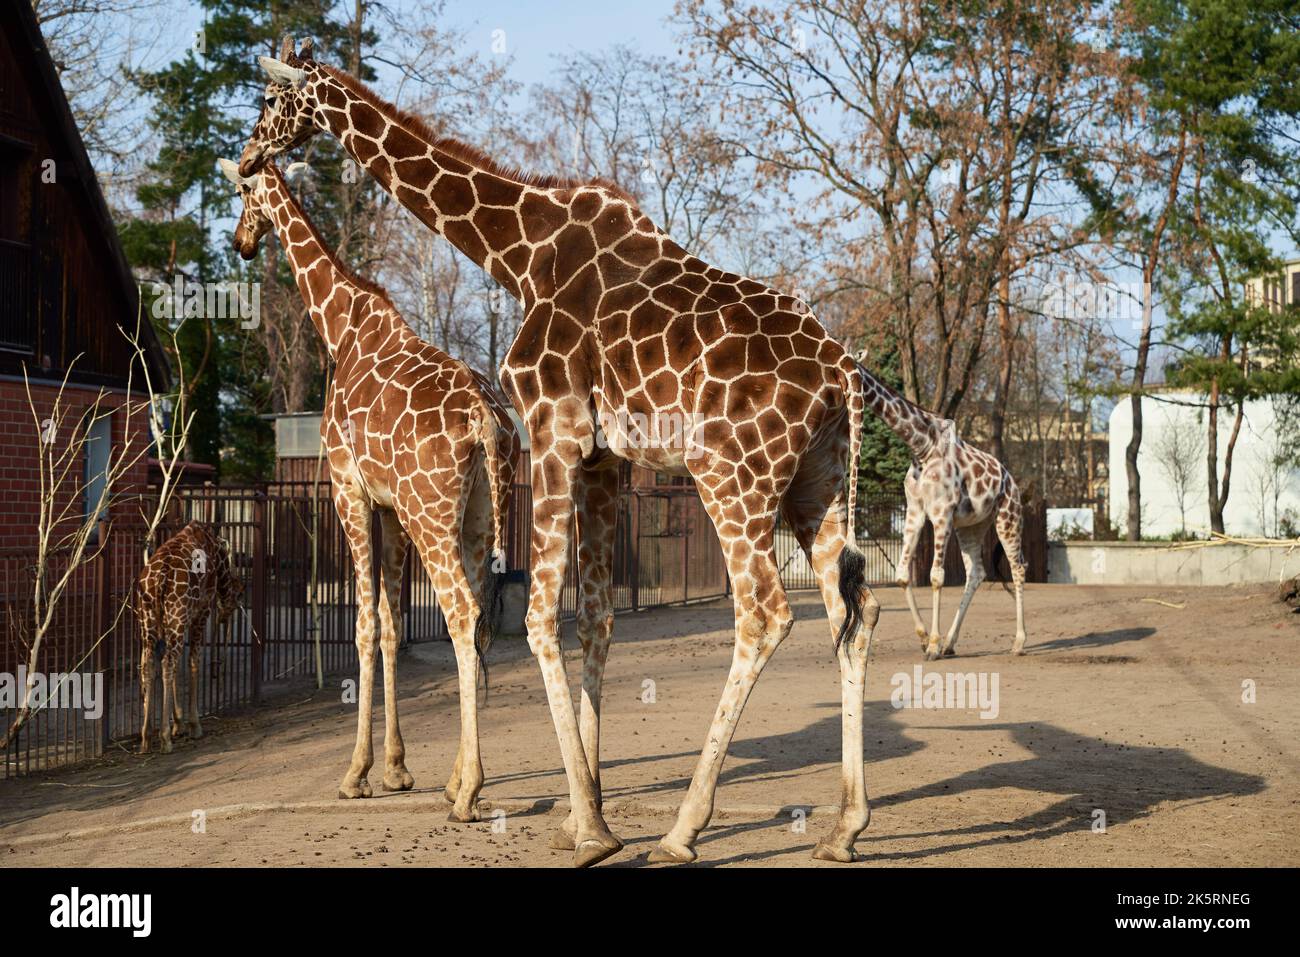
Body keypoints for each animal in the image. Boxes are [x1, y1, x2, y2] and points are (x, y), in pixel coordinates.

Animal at [135, 521, 241, 754]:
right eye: (239, 593)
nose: (225, 616)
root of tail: (158, 579)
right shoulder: (201, 611)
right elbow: (193, 661)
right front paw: (193, 725)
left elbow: (178, 666)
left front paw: (179, 724)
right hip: (177, 614)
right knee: (168, 662)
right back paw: (164, 739)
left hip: (149, 620)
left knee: (149, 665)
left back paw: (146, 738)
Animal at [218, 155, 518, 821]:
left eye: (243, 193)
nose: (242, 243)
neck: (340, 328)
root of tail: (486, 419)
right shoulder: (388, 507)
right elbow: (393, 622)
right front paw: (398, 768)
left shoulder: (348, 491)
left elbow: (362, 624)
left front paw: (355, 773)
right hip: (477, 514)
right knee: (477, 614)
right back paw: (457, 781)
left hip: (431, 513)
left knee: (461, 612)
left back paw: (469, 792)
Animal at [854, 361, 1029, 660]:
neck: (922, 446)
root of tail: (1012, 481)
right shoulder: (914, 511)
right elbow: (902, 575)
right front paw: (925, 638)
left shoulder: (941, 514)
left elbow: (936, 577)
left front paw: (933, 646)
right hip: (971, 527)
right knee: (976, 573)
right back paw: (950, 643)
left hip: (1008, 518)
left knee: (1017, 569)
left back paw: (1018, 643)